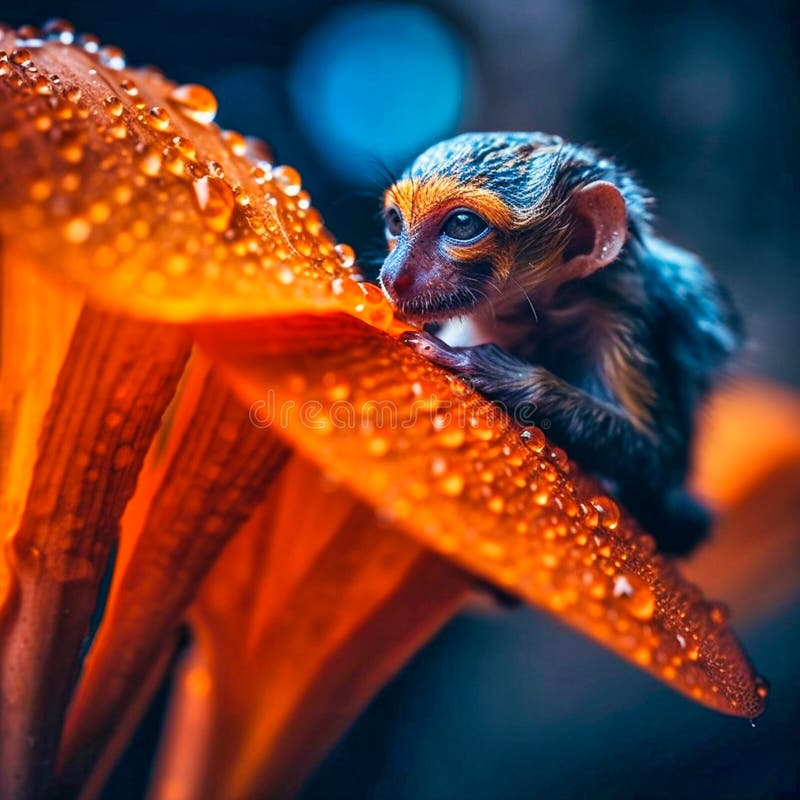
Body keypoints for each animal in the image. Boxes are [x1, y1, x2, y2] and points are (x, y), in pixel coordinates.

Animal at [378, 132, 743, 556]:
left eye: (462, 225)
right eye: (395, 221)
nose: (392, 276)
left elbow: (657, 463)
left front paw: (491, 370)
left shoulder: (620, 329)